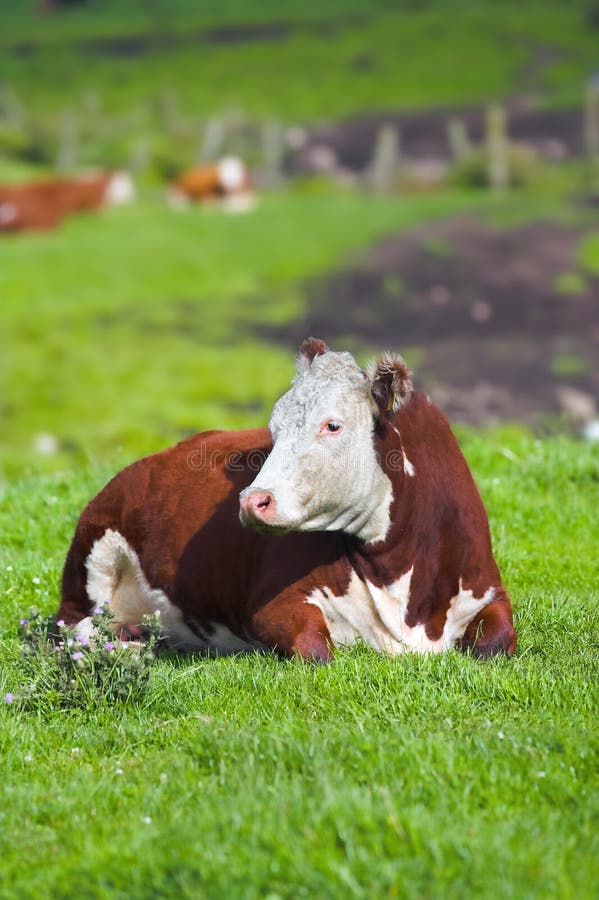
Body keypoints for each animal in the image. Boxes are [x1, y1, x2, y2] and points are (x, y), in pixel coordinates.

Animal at [57, 338, 516, 662]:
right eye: (273, 429)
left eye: (332, 425)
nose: (252, 500)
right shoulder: (273, 605)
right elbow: (315, 649)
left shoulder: (489, 589)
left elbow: (497, 641)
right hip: (91, 560)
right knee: (71, 629)